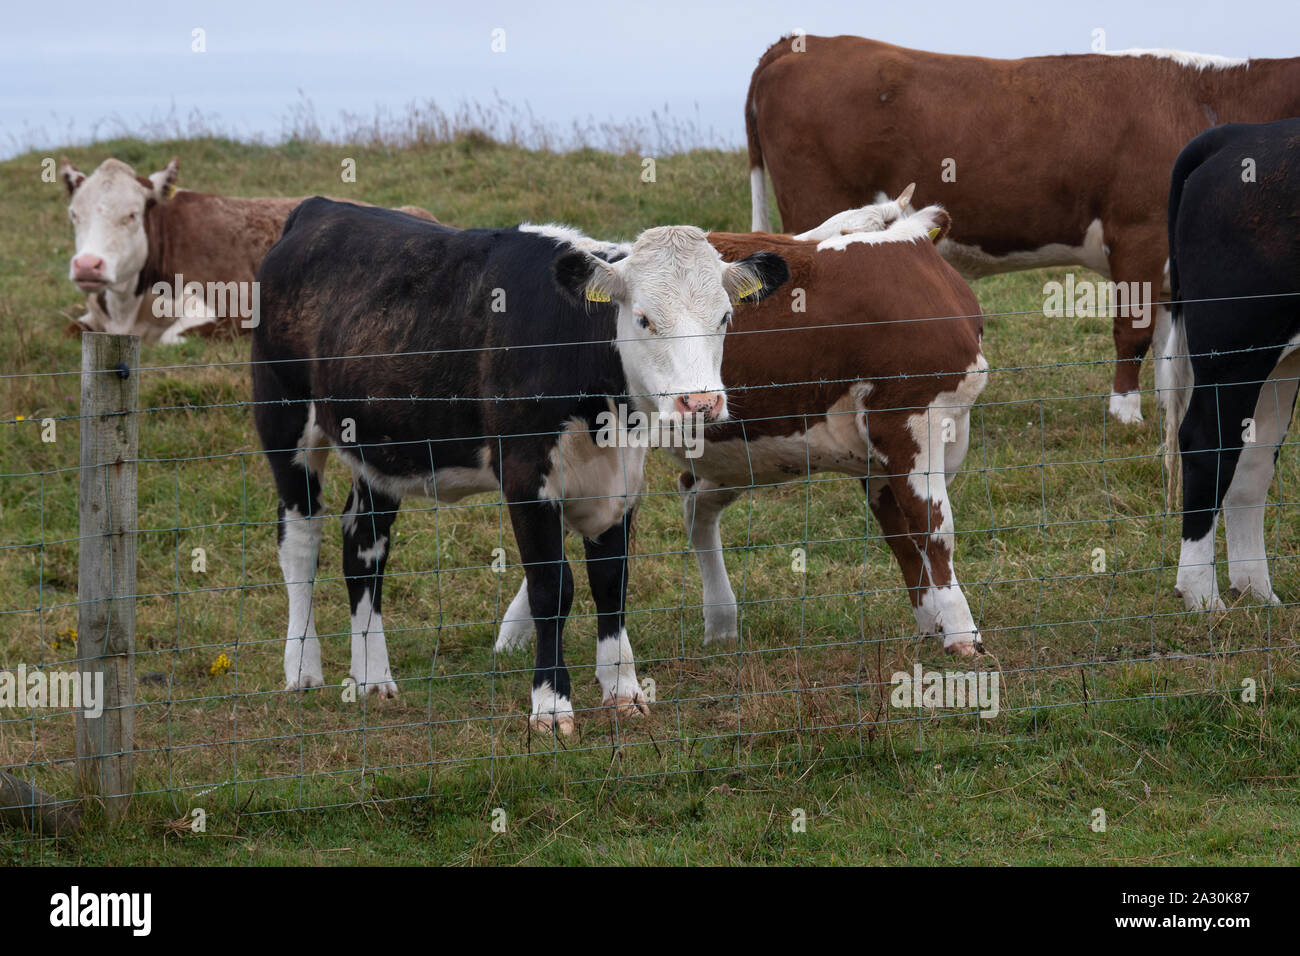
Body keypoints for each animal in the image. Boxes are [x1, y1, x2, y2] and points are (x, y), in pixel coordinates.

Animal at [59, 157, 435, 343]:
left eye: (131, 215)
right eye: (74, 214)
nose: (88, 265)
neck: (129, 310)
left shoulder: (235, 309)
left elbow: (172, 338)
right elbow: (72, 329)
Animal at [252, 198, 789, 734]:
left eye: (724, 316)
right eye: (643, 319)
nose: (701, 403)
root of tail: (321, 207)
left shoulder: (619, 482)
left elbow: (610, 582)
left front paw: (623, 690)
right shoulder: (525, 477)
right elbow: (552, 589)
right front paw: (550, 705)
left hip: (379, 448)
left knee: (364, 545)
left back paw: (373, 678)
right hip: (284, 421)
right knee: (300, 540)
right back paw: (302, 669)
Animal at [495, 197, 988, 657]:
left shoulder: (889, 453)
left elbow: (902, 536)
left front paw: (930, 623)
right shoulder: (907, 421)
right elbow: (932, 529)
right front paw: (962, 633)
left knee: (686, 505)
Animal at [744, 35, 1300, 424]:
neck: (1207, 99)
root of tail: (805, 42)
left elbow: (1169, 343)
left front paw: (1168, 407)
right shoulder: (1138, 234)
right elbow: (1134, 331)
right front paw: (1125, 414)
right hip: (817, 212)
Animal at [1159, 119, 1300, 612]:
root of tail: (1237, 133)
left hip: (1279, 361)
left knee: (1252, 458)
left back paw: (1255, 587)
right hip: (1236, 351)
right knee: (1207, 445)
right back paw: (1203, 595)